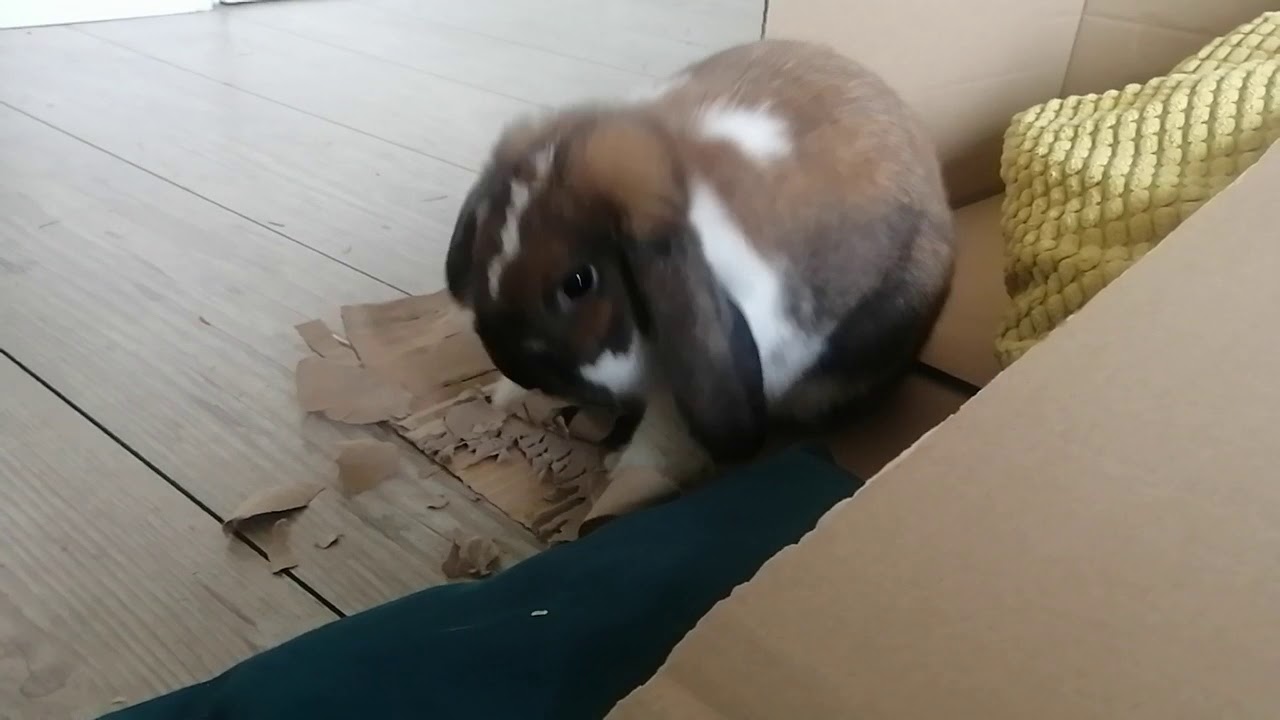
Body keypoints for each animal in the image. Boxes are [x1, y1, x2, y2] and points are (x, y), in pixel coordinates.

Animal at [445, 38, 955, 488]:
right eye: (485, 242)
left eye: (578, 282)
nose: (513, 365)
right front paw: (503, 397)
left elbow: (665, 429)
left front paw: (625, 471)